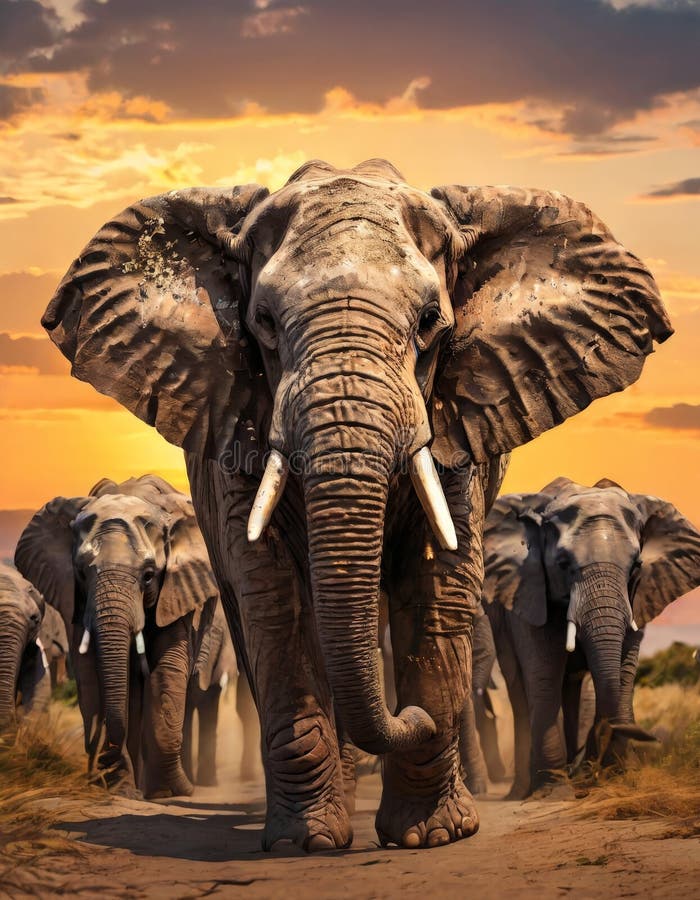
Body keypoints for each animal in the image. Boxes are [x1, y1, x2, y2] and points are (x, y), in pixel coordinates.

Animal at [15, 475, 219, 799]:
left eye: (148, 575)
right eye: (82, 573)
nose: (103, 752)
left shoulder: (176, 588)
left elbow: (167, 667)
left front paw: (168, 792)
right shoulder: (75, 600)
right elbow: (90, 672)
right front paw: (120, 787)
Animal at [482, 477, 700, 798]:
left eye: (636, 565)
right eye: (562, 563)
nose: (653, 738)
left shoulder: (640, 594)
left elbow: (623, 670)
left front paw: (616, 777)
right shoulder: (529, 587)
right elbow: (544, 671)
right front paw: (553, 791)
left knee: (575, 688)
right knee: (519, 688)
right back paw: (523, 790)